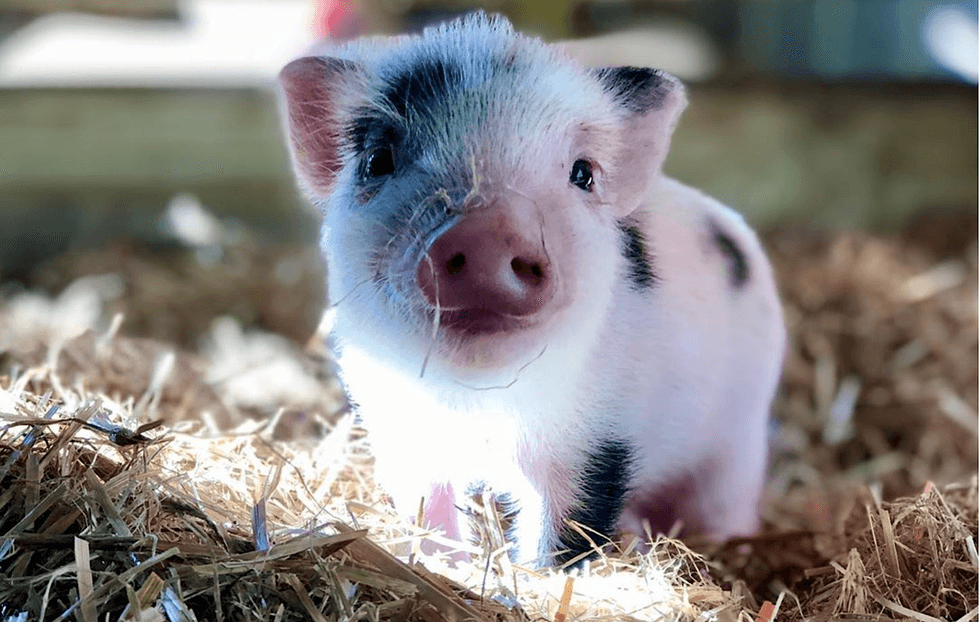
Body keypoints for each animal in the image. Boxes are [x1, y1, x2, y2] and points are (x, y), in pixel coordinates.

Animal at [278, 12, 786, 567]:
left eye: (583, 173)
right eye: (377, 159)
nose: (489, 233)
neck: (475, 402)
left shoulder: (599, 439)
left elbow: (568, 529)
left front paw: (540, 575)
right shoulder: (400, 426)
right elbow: (429, 512)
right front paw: (444, 565)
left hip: (741, 430)